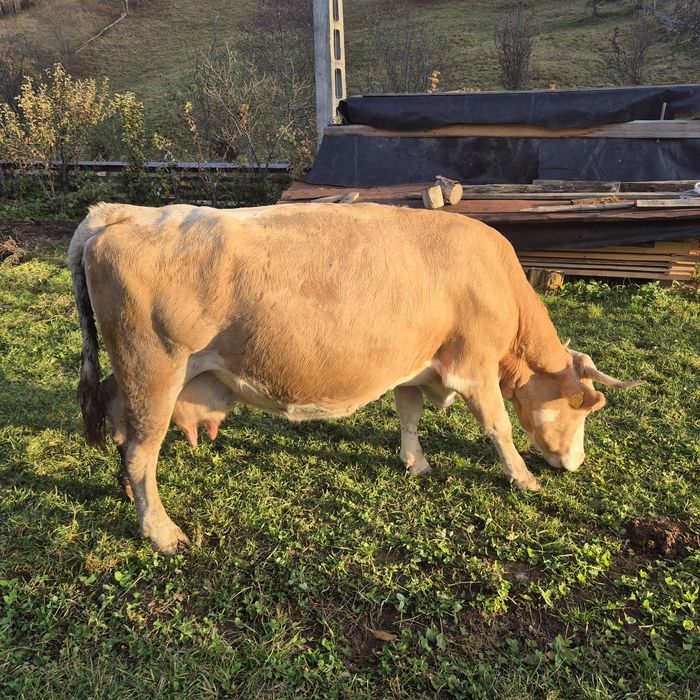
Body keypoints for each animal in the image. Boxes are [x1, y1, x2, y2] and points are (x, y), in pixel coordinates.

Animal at [69, 202, 642, 554]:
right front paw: (523, 477)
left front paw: (415, 463)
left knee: (120, 426)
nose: (576, 463)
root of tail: (117, 216)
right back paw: (161, 531)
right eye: (582, 407)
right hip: (155, 371)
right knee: (142, 451)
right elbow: (498, 428)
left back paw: (127, 495)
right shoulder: (474, 366)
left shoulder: (415, 360)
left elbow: (409, 413)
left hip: (132, 375)